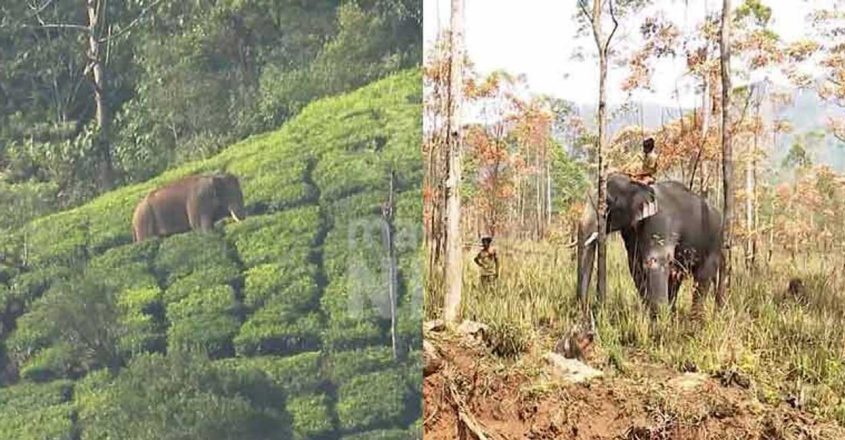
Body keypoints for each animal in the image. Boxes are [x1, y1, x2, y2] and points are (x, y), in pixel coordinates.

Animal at [575, 172, 723, 314]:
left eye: (607, 204)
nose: (585, 310)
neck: (639, 186)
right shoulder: (631, 231)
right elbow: (636, 265)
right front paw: (651, 312)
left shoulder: (661, 223)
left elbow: (655, 262)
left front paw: (659, 316)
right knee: (676, 278)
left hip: (713, 244)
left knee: (702, 278)